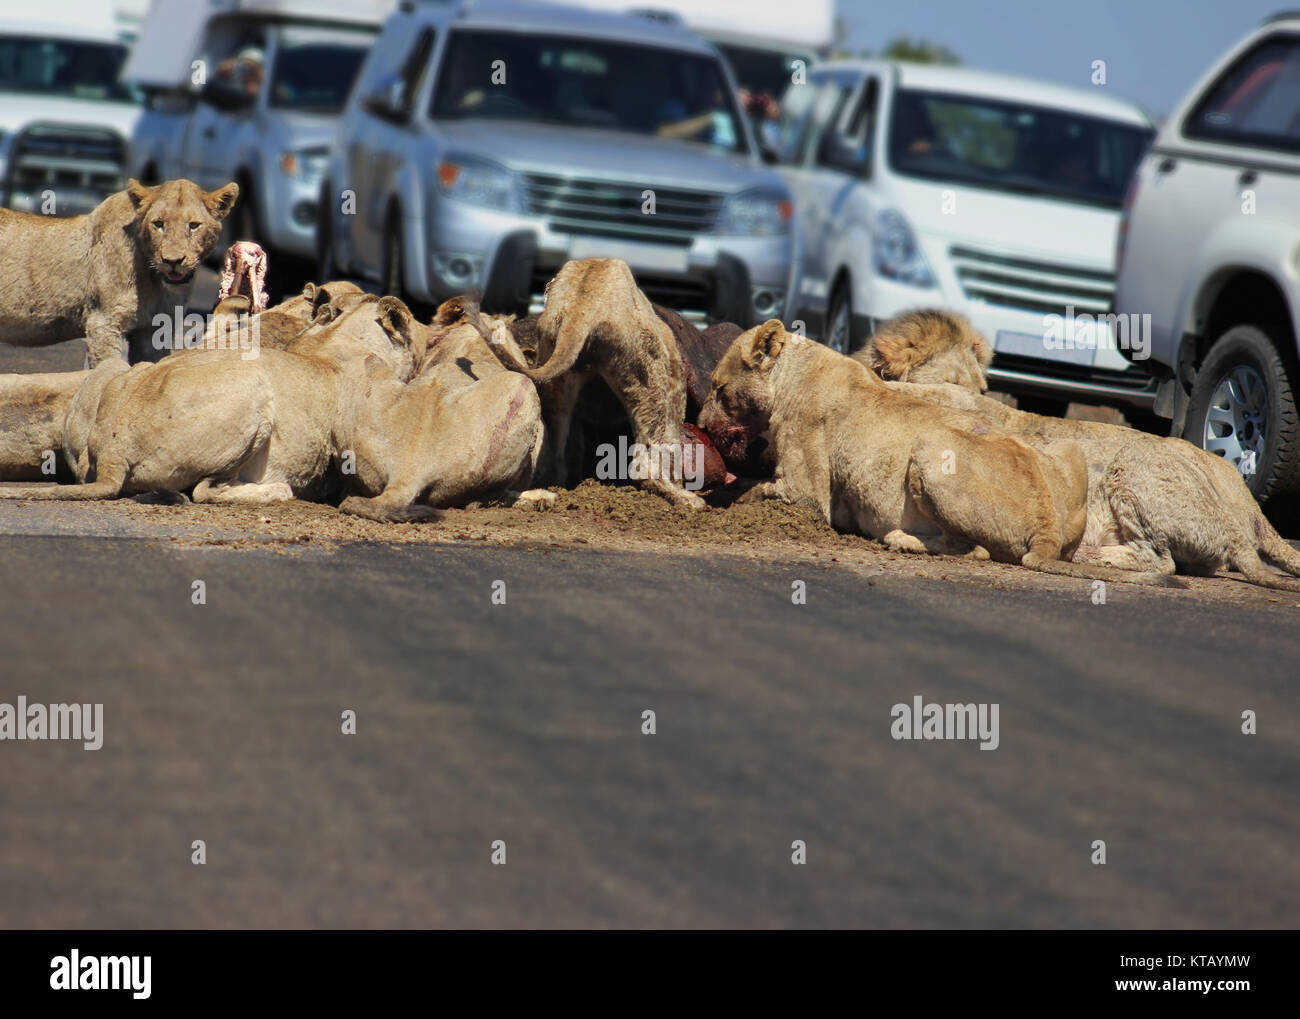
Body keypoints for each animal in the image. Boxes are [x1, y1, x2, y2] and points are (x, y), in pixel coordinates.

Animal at [0, 178, 239, 366]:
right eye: (158, 224)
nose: (172, 261)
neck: (153, 279)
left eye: (194, 225)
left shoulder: (154, 329)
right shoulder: (103, 322)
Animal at [698, 319, 1174, 585]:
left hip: (929, 454)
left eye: (718, 389)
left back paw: (900, 539)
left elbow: (751, 492)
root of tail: (1045, 529)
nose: (700, 425)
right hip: (1064, 448)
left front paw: (716, 500)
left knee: (974, 549)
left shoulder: (805, 493)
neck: (795, 373)